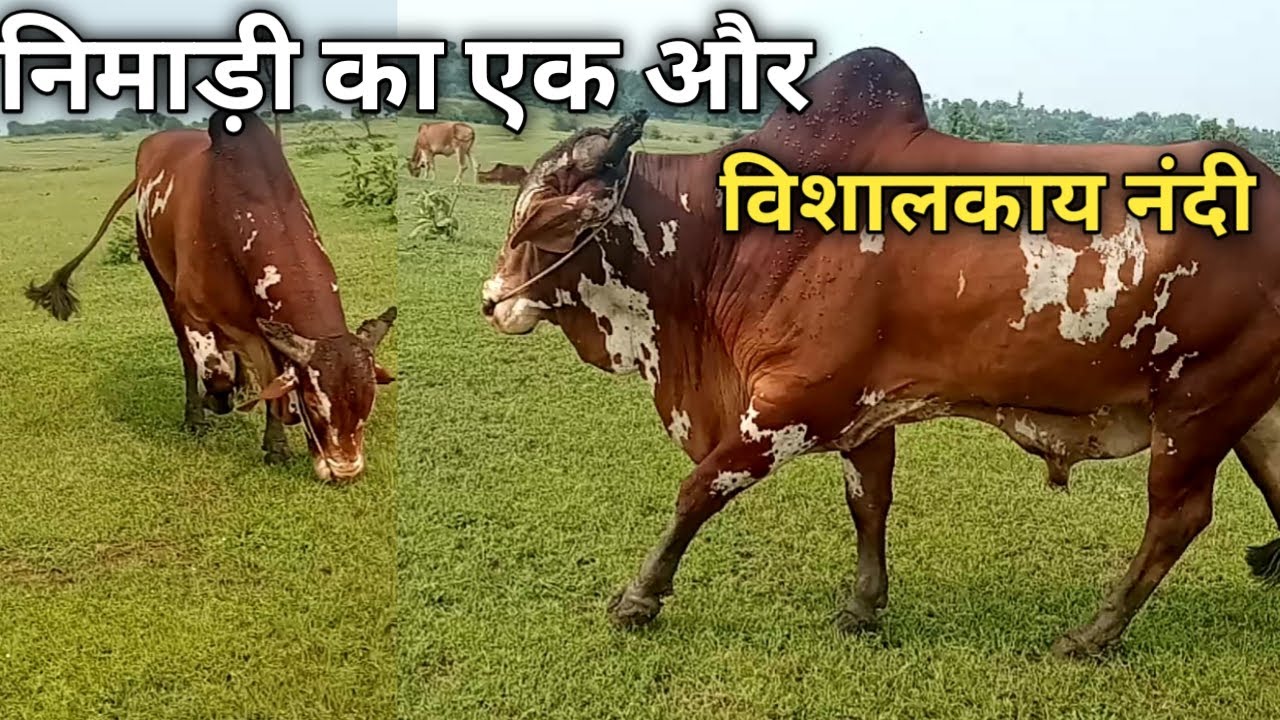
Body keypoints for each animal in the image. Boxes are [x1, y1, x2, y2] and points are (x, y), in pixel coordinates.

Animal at [25, 110, 397, 484]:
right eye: (315, 403)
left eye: (368, 404)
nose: (346, 471)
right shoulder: (194, 314)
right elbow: (216, 376)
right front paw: (214, 404)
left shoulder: (268, 330)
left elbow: (269, 381)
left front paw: (275, 445)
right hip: (156, 271)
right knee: (190, 354)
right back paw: (197, 414)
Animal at [480, 48, 1280, 658]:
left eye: (541, 216)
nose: (490, 299)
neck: (728, 238)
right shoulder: (862, 409)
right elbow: (868, 502)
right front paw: (864, 606)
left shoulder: (789, 410)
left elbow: (697, 492)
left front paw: (639, 598)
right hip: (1250, 417)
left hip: (1196, 410)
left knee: (1176, 520)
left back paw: (1091, 634)